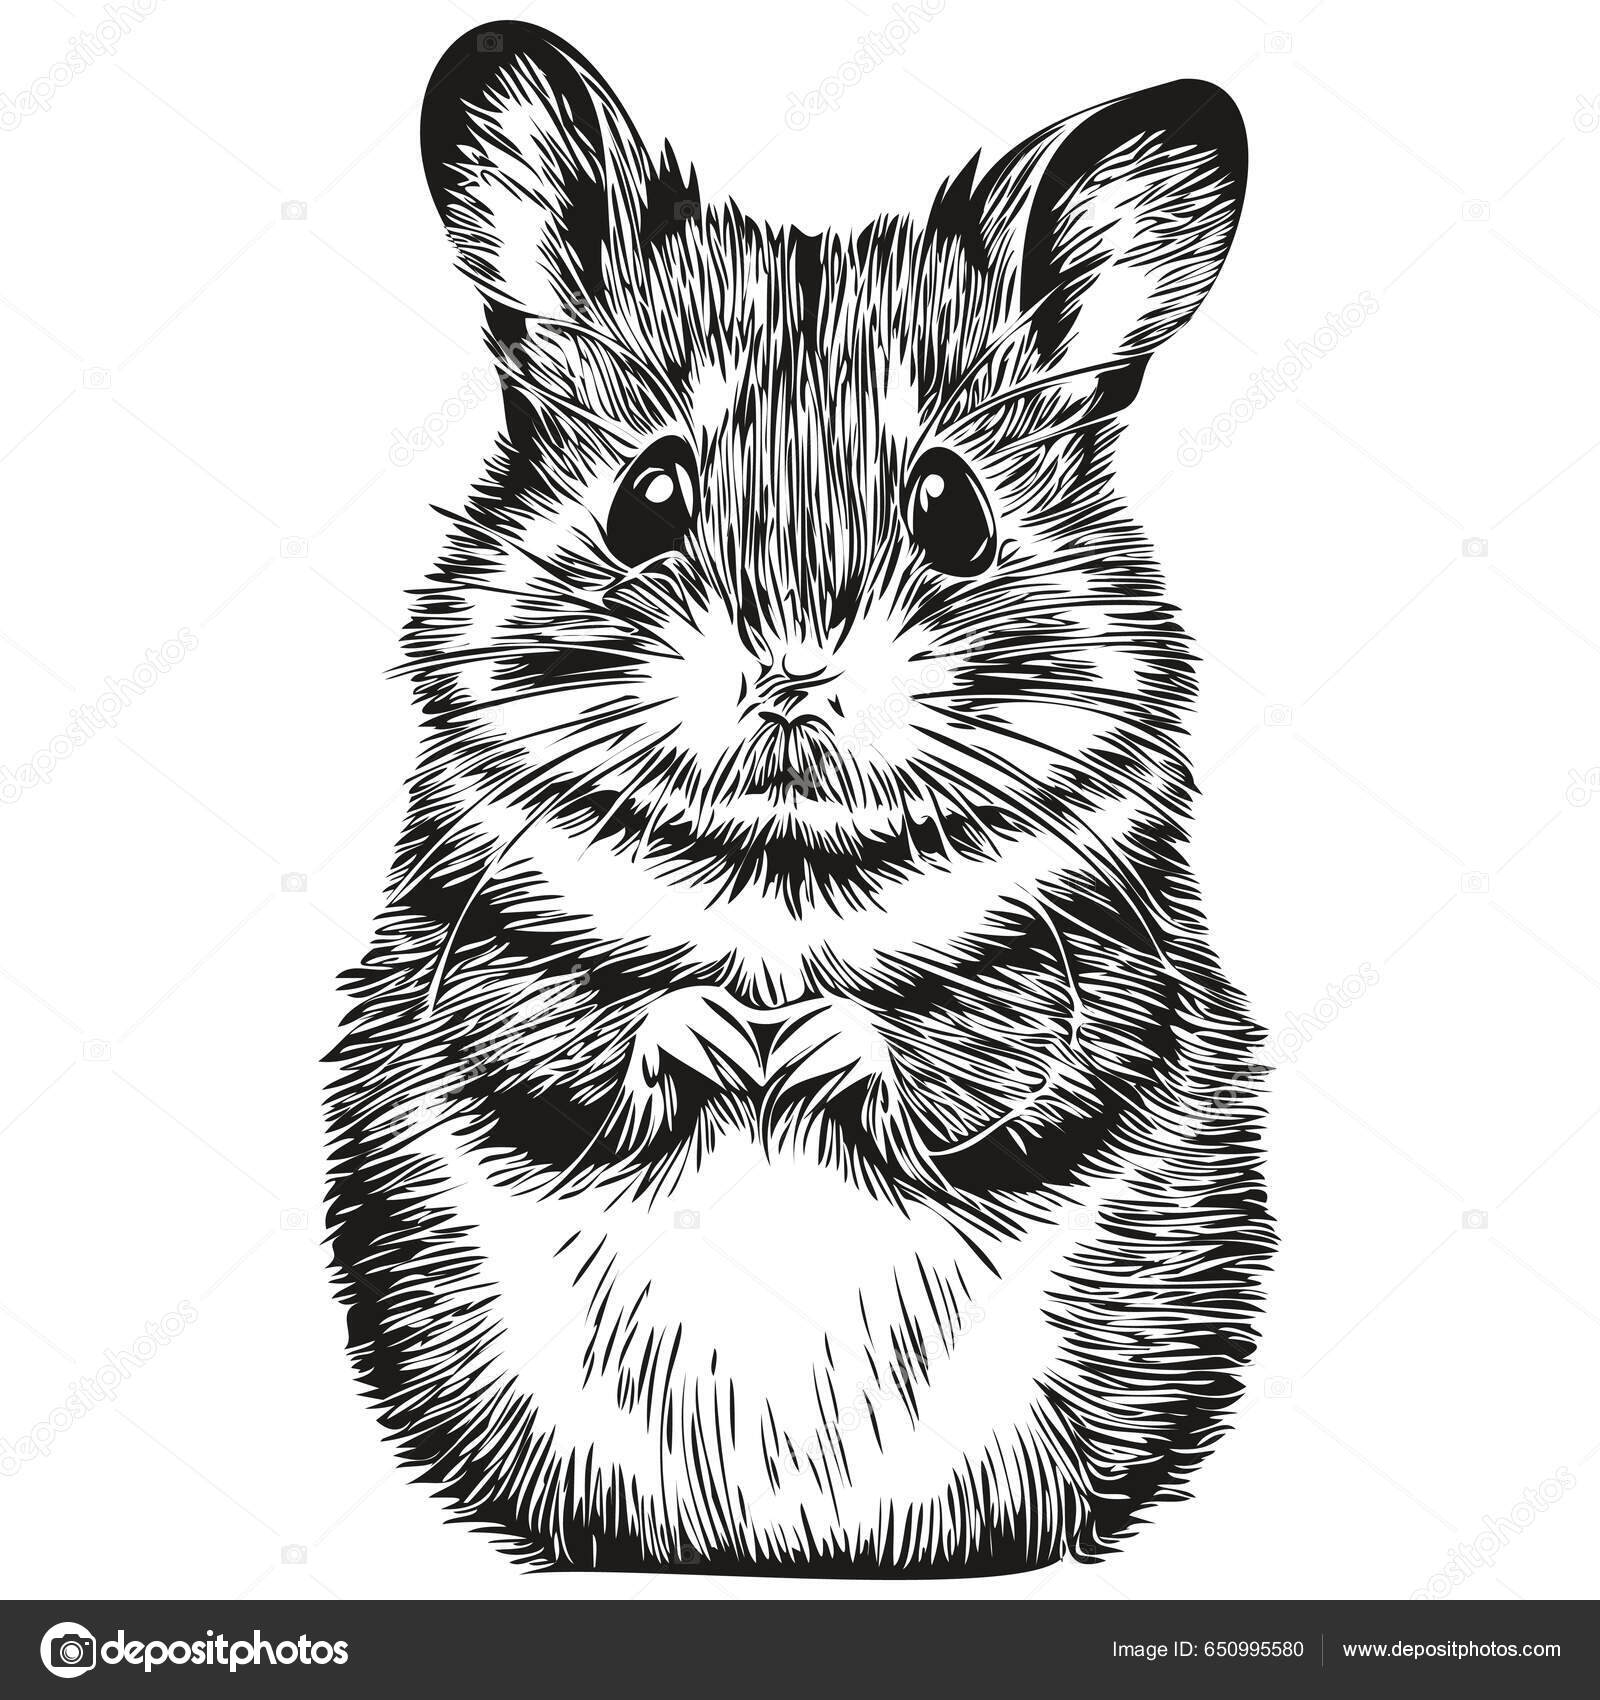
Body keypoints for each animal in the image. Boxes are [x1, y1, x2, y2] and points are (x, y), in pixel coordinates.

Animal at [327, 22, 1272, 1577]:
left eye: (952, 509)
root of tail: (781, 1550)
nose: (793, 676)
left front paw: (811, 1046)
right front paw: (722, 1036)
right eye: (647, 495)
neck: (783, 869)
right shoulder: (480, 956)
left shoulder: (1099, 979)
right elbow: (564, 1034)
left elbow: (985, 1056)